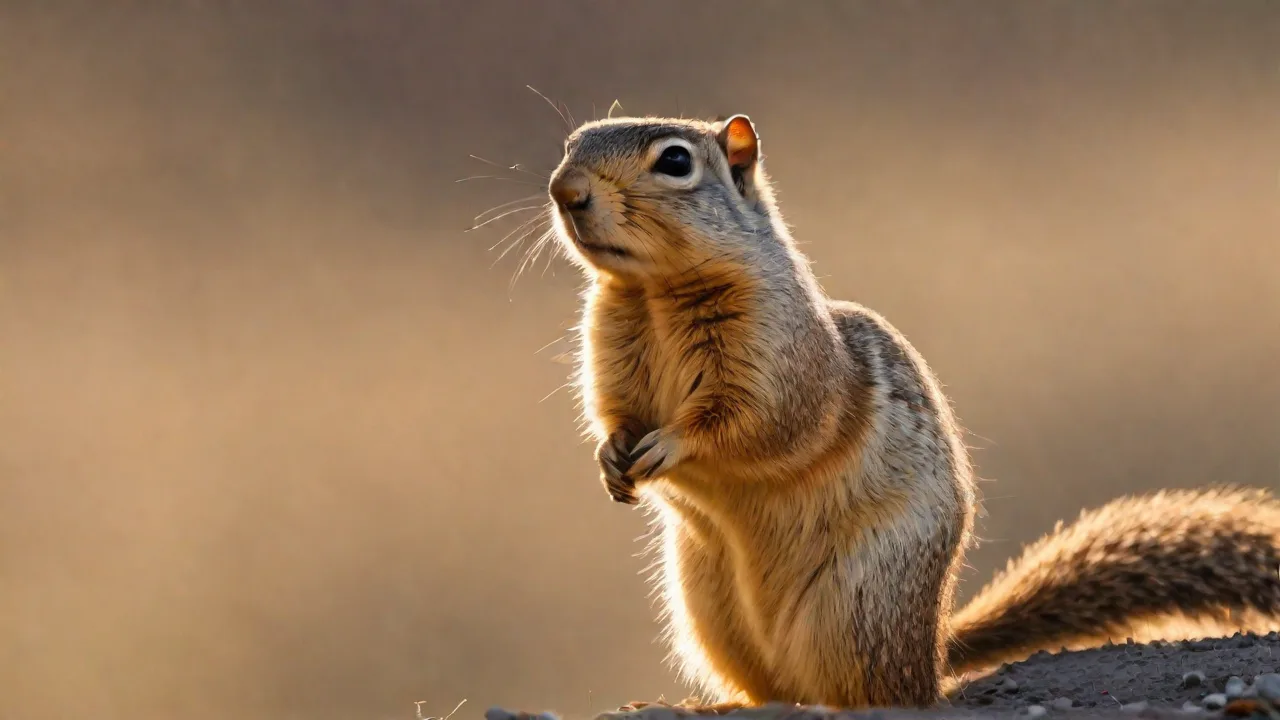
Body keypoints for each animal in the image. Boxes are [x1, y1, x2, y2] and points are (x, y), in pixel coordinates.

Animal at [541, 113, 1280, 712]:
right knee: (772, 688)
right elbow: (611, 413)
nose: (564, 190)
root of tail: (935, 652)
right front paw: (610, 458)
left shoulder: (778, 364)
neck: (653, 293)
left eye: (674, 161)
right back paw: (715, 704)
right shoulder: (612, 357)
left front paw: (670, 445)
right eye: (574, 141)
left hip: (855, 607)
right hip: (707, 608)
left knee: (871, 692)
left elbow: (751, 419)